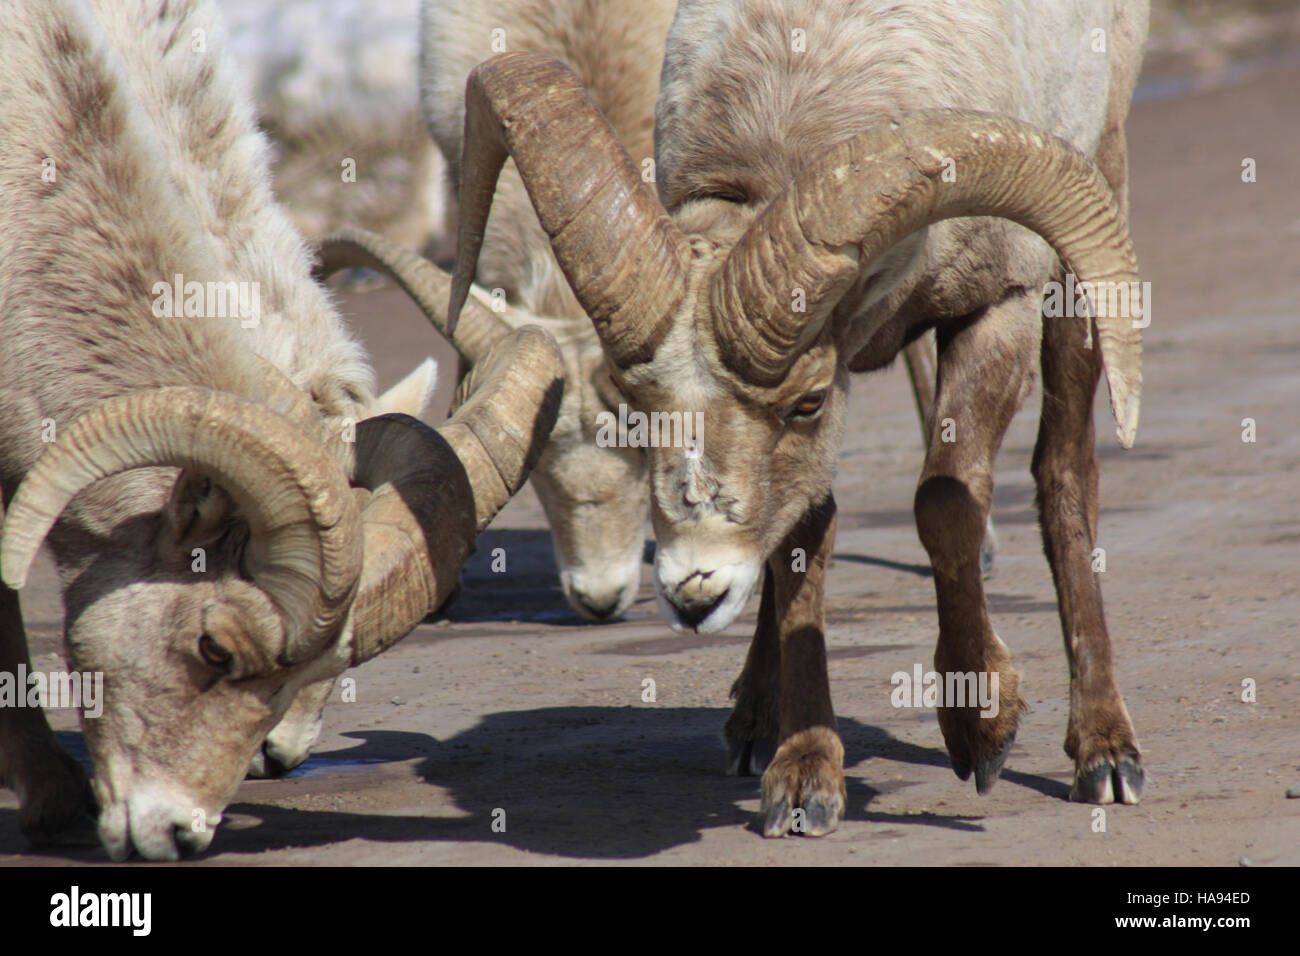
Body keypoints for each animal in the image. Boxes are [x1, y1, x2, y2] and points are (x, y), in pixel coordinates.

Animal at [445, 0, 1150, 836]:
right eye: (634, 404)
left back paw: (1105, 755)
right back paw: (752, 724)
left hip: (1088, 225)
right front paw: (802, 780)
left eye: (806, 401)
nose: (694, 594)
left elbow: (945, 503)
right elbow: (804, 538)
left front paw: (981, 733)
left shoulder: (993, 310)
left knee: (1065, 471)